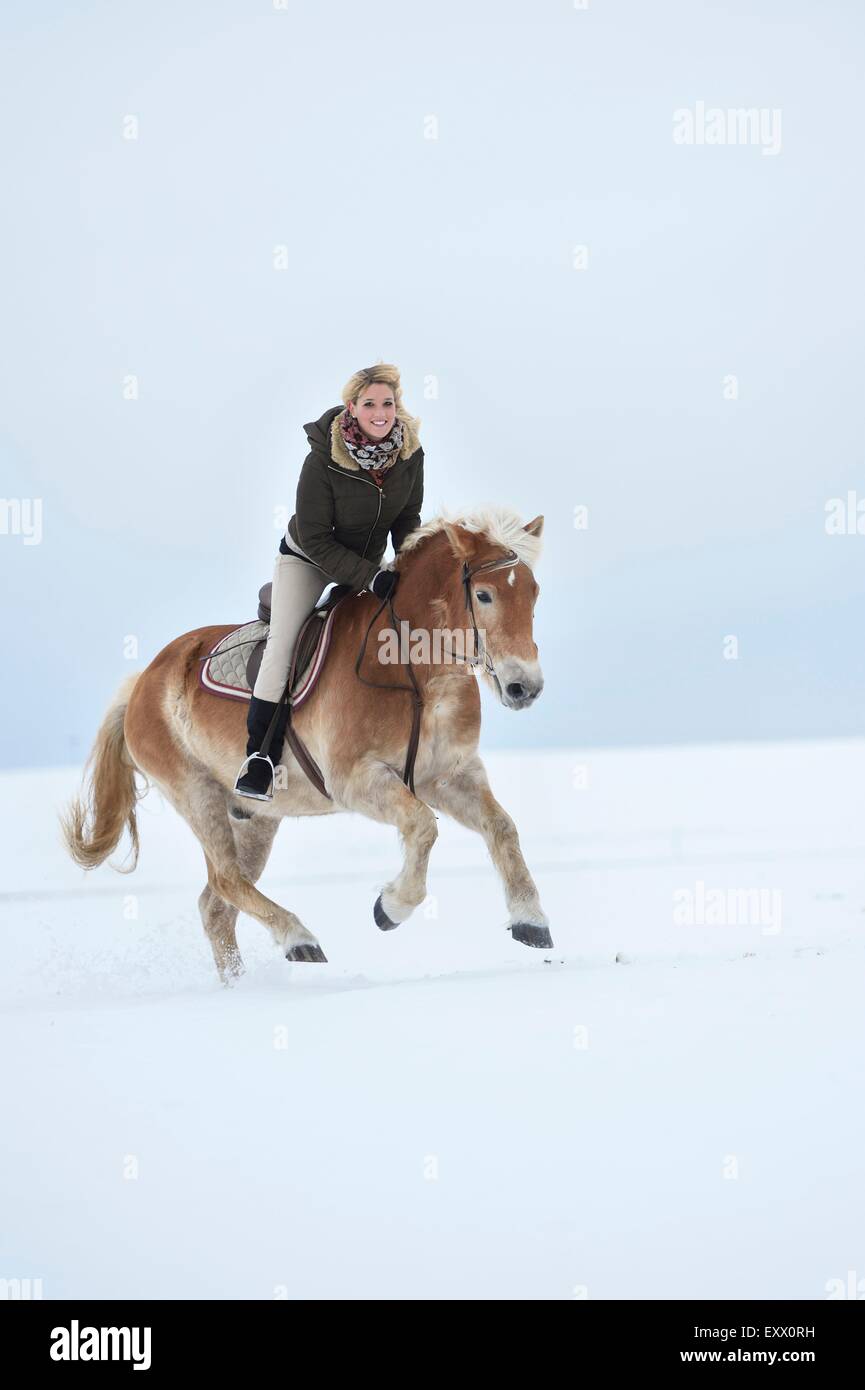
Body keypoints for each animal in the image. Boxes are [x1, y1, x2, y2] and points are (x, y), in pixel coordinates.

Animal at [60, 507, 552, 983]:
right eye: (484, 596)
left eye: (533, 593)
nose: (524, 688)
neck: (414, 671)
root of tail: (144, 680)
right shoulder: (355, 780)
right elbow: (422, 826)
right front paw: (390, 908)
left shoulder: (449, 775)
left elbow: (502, 827)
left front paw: (531, 920)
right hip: (196, 794)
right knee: (225, 881)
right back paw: (299, 939)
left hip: (256, 818)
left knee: (217, 906)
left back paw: (241, 984)